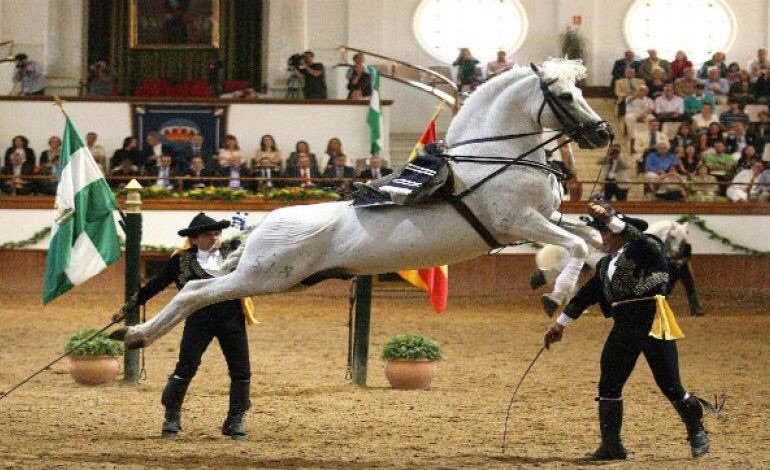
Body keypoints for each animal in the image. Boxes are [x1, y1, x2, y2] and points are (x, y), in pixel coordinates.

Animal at [113, 58, 612, 348]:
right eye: (564, 95)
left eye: (580, 92)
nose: (603, 133)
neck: (494, 155)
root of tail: (263, 225)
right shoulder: (519, 221)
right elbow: (577, 245)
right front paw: (552, 295)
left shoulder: (547, 217)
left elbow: (588, 240)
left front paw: (544, 278)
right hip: (265, 276)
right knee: (194, 292)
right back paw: (134, 334)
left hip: (275, 278)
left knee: (195, 292)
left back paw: (133, 335)